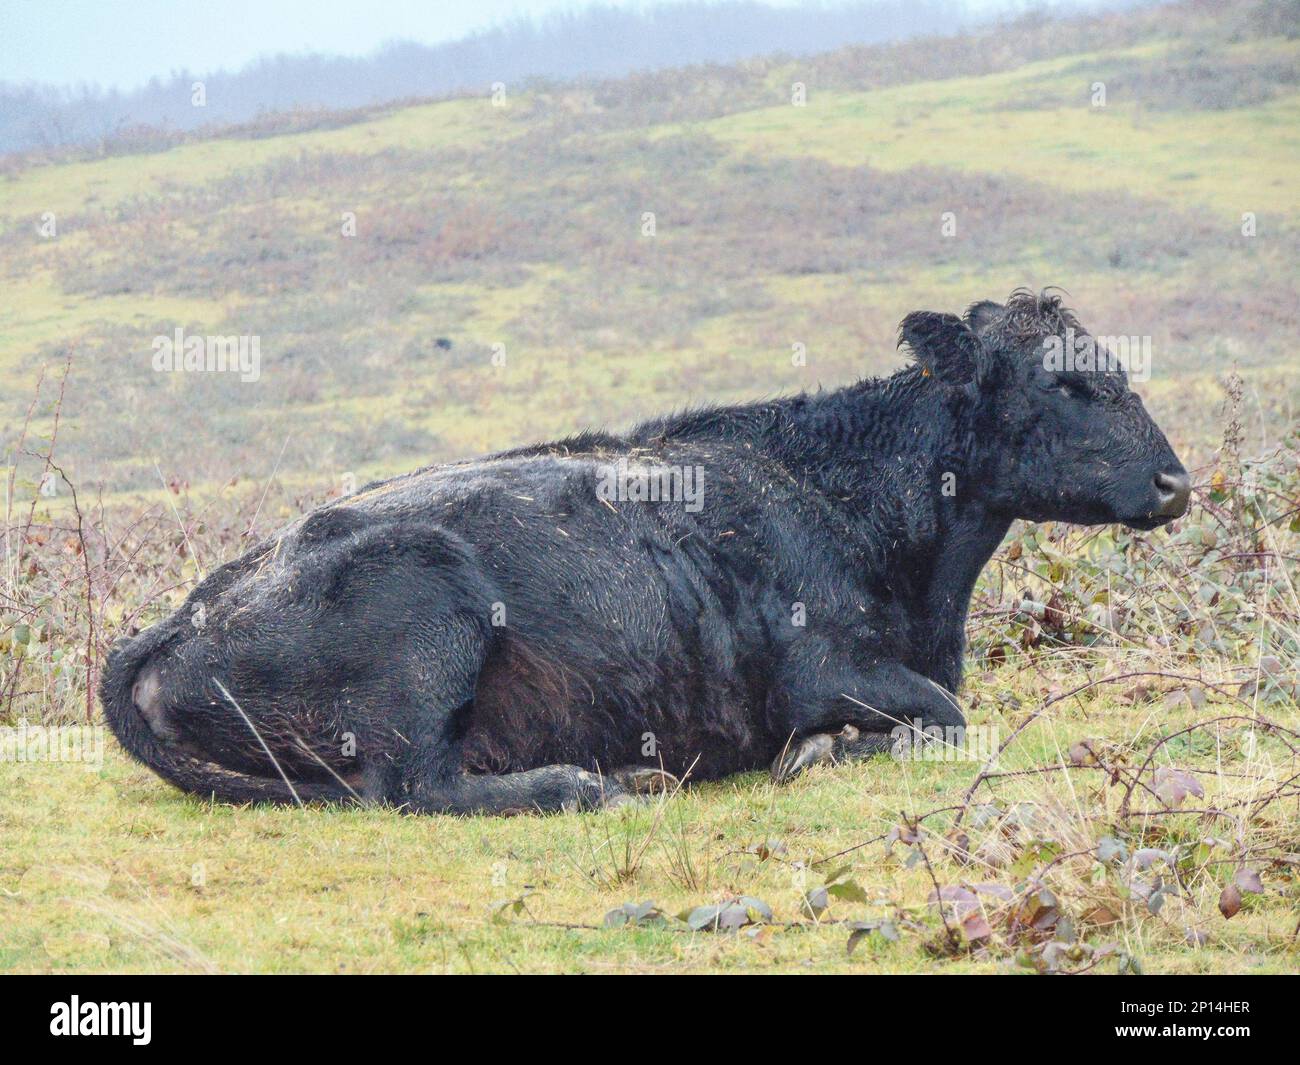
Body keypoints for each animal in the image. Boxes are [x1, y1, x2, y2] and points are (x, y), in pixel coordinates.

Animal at [101, 290, 1190, 815]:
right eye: (1062, 383)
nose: (1177, 482)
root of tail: (181, 615)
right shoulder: (821, 669)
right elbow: (948, 719)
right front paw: (820, 751)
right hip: (429, 601)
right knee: (411, 789)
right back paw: (582, 784)